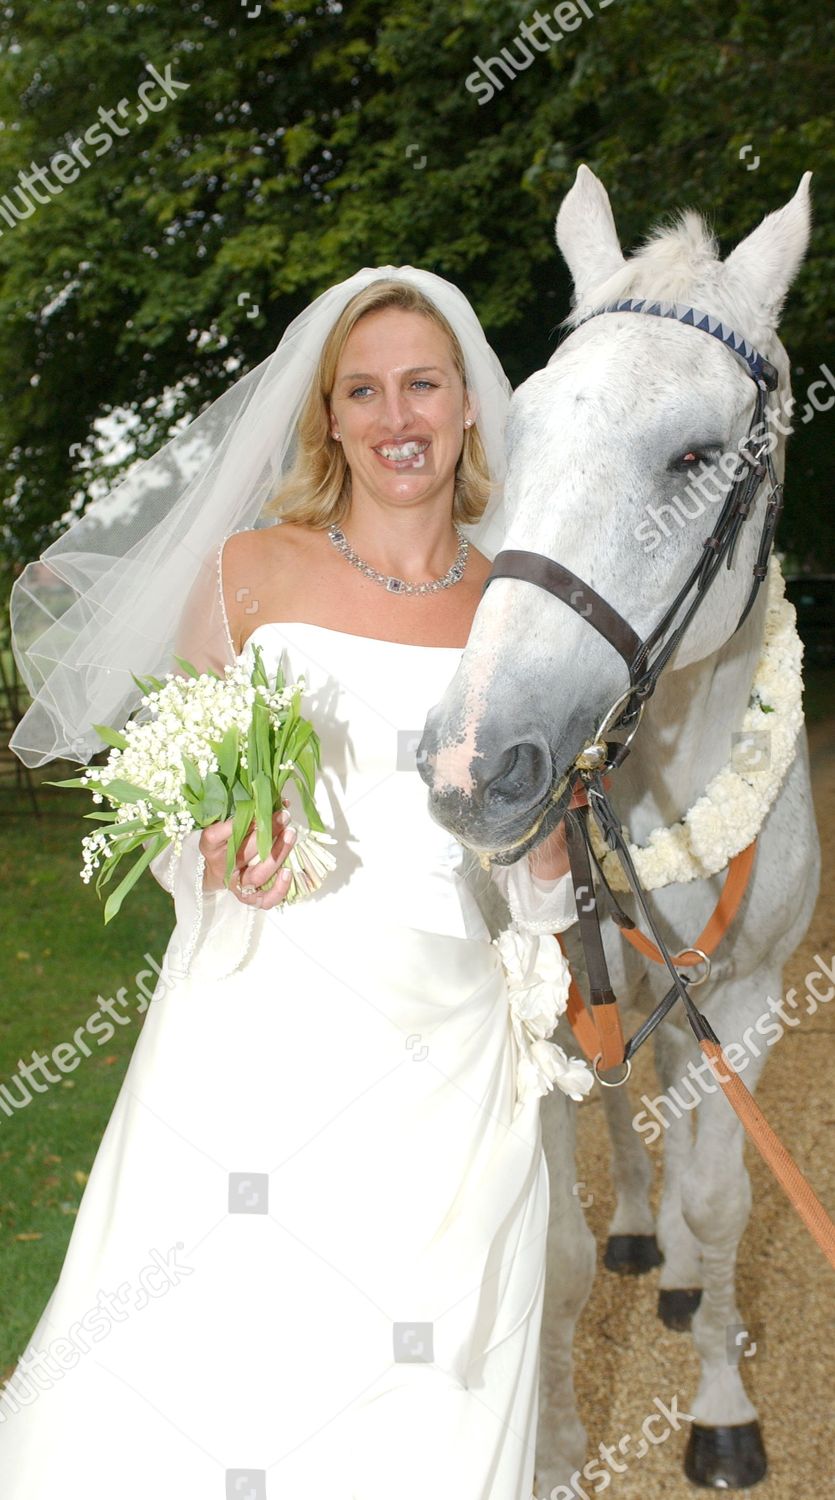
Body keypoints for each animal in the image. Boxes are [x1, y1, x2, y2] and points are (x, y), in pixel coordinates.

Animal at [417, 165, 820, 1493]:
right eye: (523, 431)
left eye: (696, 454)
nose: (473, 760)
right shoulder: (541, 1011)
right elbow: (549, 1251)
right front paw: (546, 1451)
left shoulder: (742, 996)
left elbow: (721, 1197)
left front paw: (722, 1409)